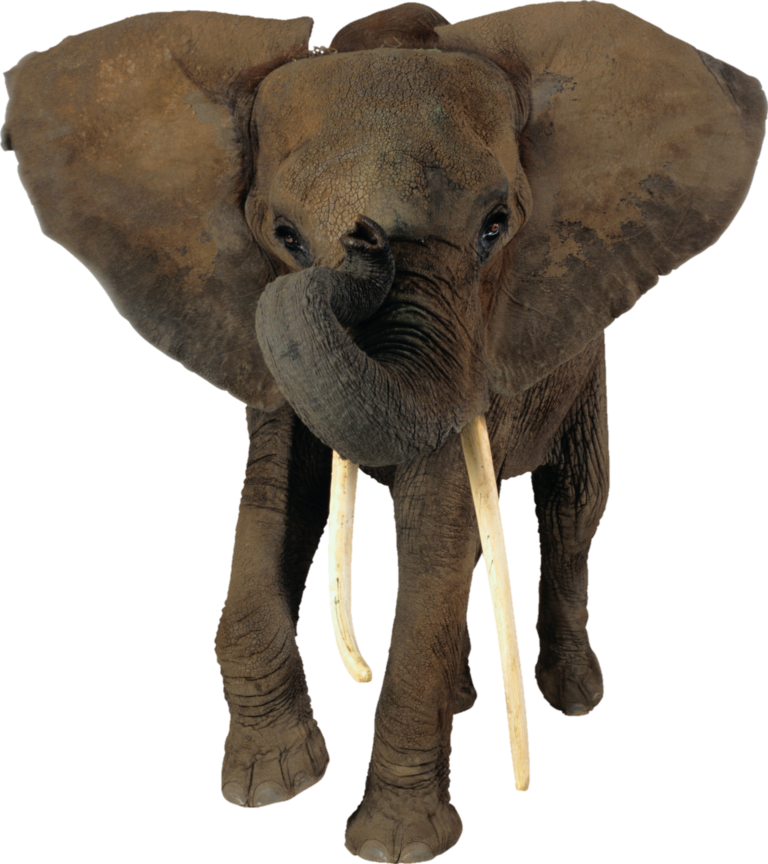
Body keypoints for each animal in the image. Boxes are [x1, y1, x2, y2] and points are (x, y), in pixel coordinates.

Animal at [2, 2, 764, 860]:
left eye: (496, 226)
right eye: (285, 235)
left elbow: (436, 527)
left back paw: (572, 698)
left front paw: (396, 847)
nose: (365, 242)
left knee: (574, 507)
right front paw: (271, 783)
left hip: (584, 361)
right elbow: (276, 497)